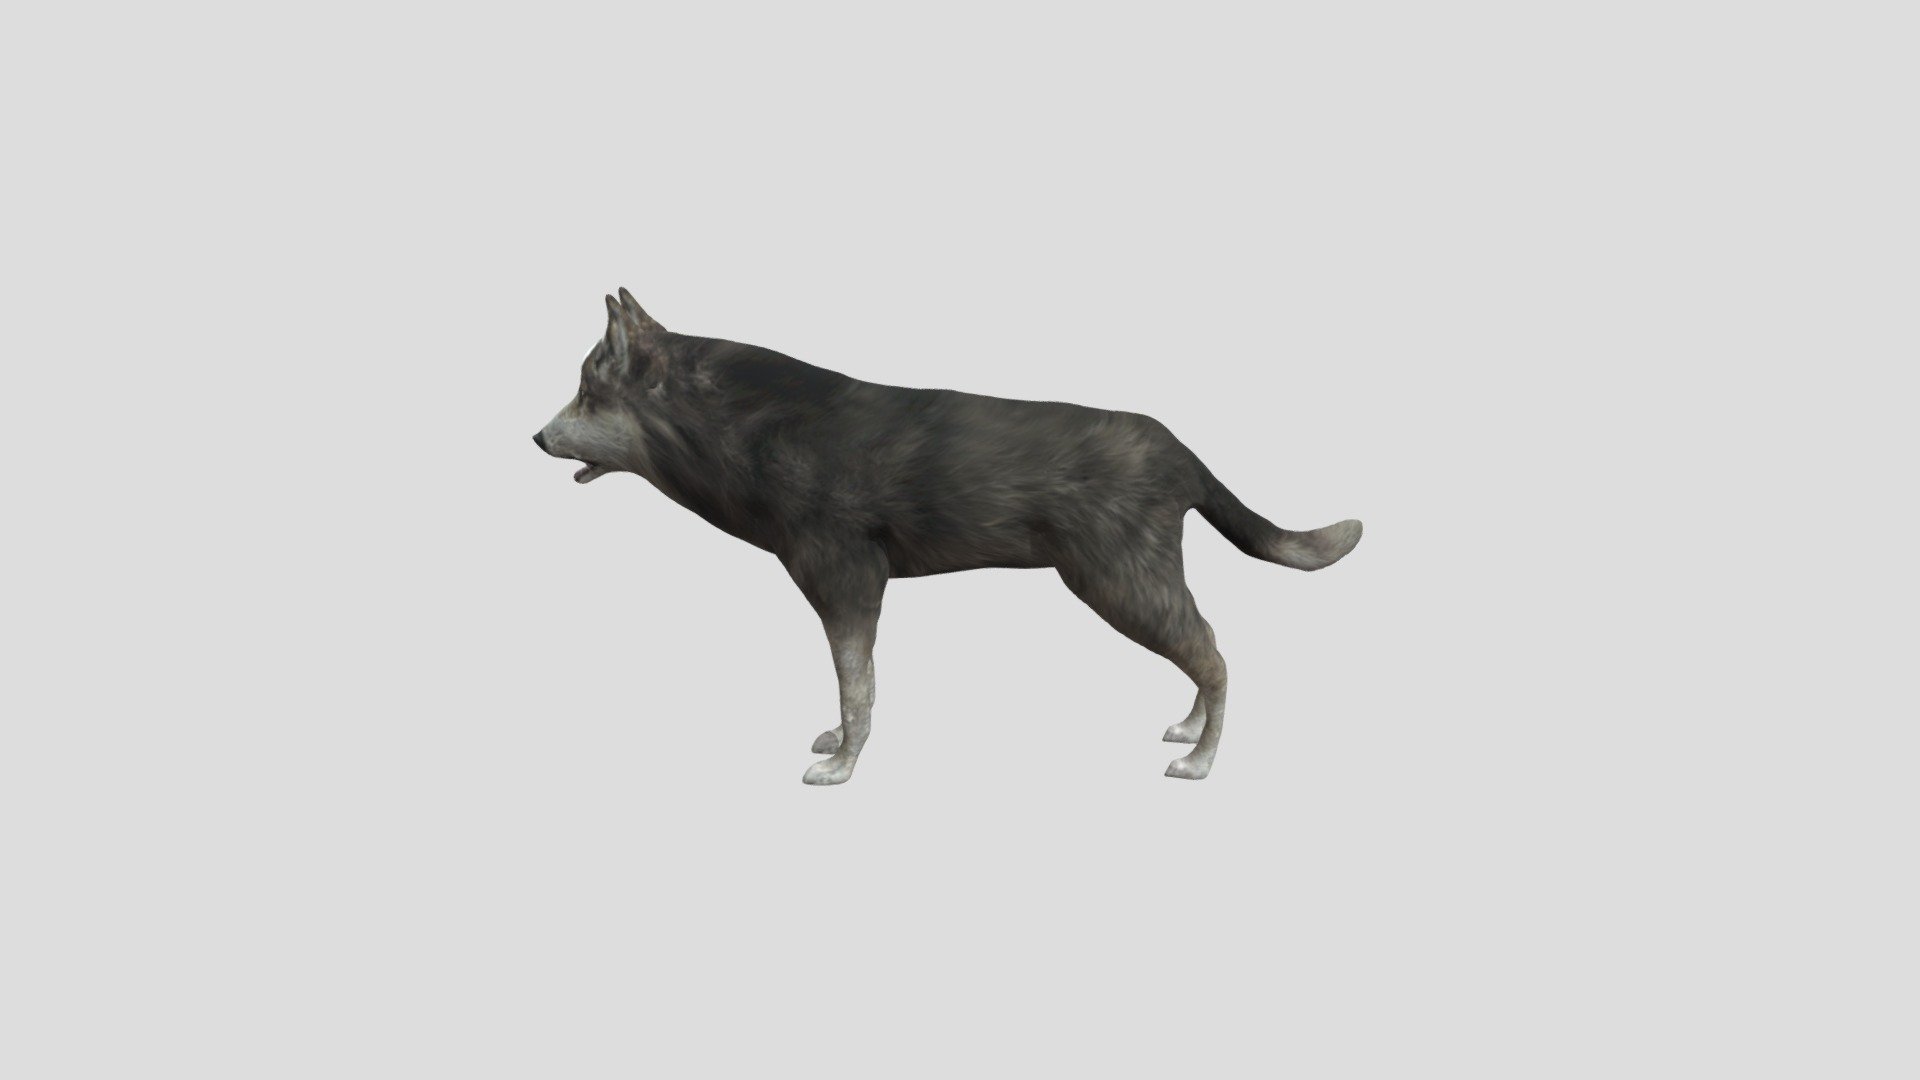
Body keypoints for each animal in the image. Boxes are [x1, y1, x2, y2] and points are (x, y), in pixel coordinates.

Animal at [534, 290, 1362, 784]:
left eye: (587, 394)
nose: (537, 436)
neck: (749, 428)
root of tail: (1182, 450)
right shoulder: (855, 590)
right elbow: (856, 689)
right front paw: (839, 745)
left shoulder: (845, 583)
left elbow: (856, 686)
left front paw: (845, 766)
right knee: (1203, 648)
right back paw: (1189, 728)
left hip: (1118, 583)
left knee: (1214, 652)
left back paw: (1201, 759)